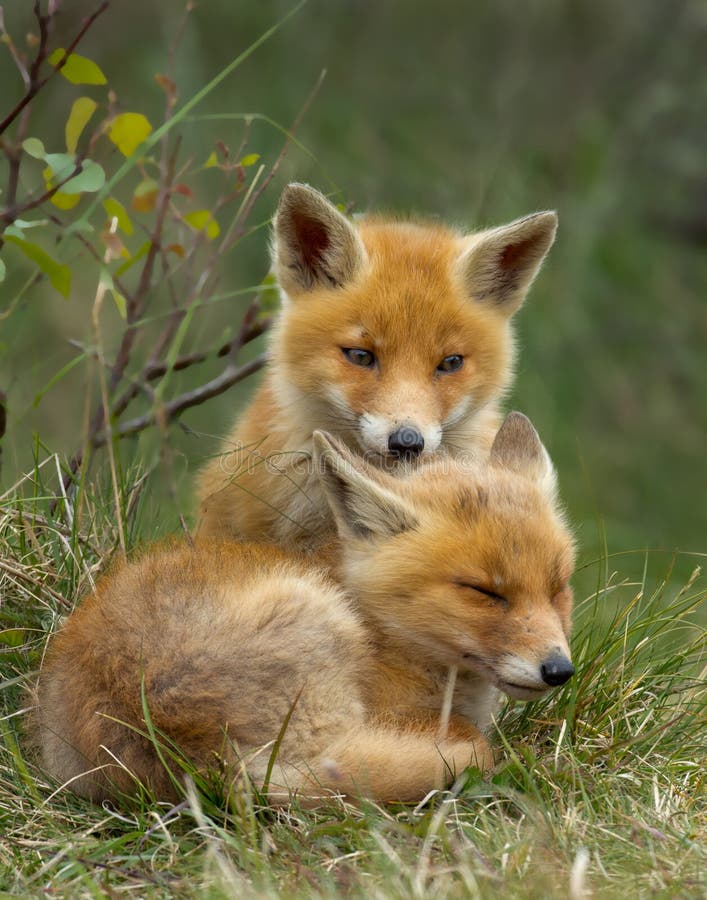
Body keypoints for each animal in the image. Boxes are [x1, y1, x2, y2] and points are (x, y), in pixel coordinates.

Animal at [36, 413, 575, 806]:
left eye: (558, 588)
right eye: (482, 591)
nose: (559, 670)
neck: (385, 637)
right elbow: (466, 741)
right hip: (318, 645)